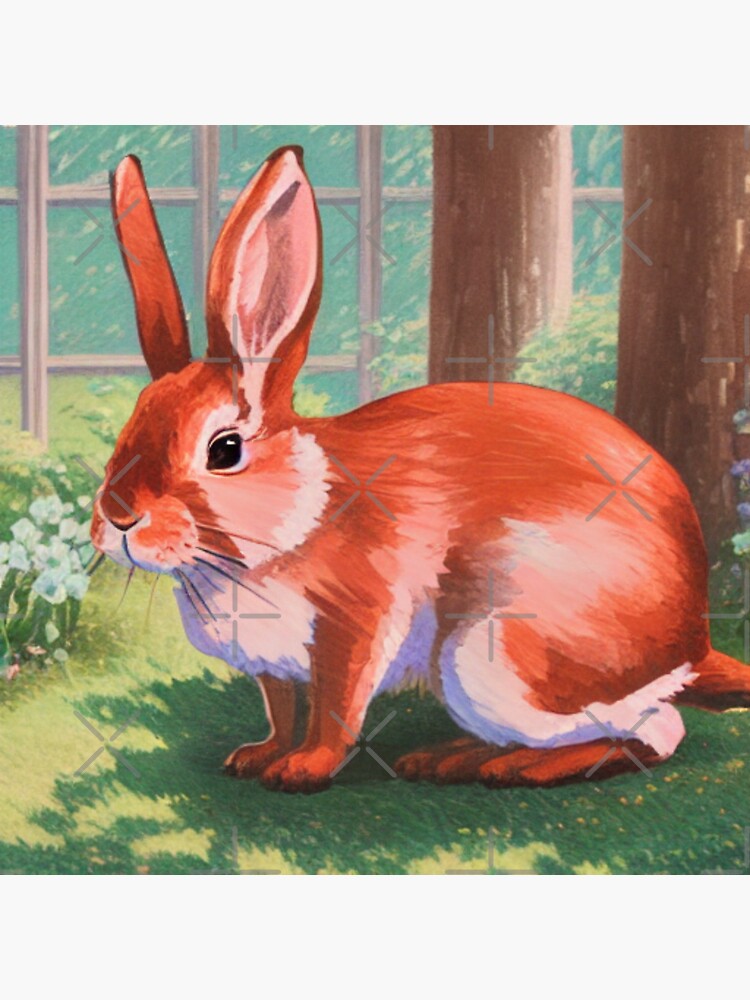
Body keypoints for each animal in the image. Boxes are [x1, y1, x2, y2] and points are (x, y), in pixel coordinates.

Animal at [91, 144, 750, 794]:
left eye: (224, 450)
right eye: (132, 423)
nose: (118, 519)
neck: (295, 522)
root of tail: (692, 643)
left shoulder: (356, 624)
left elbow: (336, 709)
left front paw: (302, 769)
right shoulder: (270, 670)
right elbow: (280, 708)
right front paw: (257, 755)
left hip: (494, 661)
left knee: (655, 730)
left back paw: (514, 767)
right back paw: (452, 757)